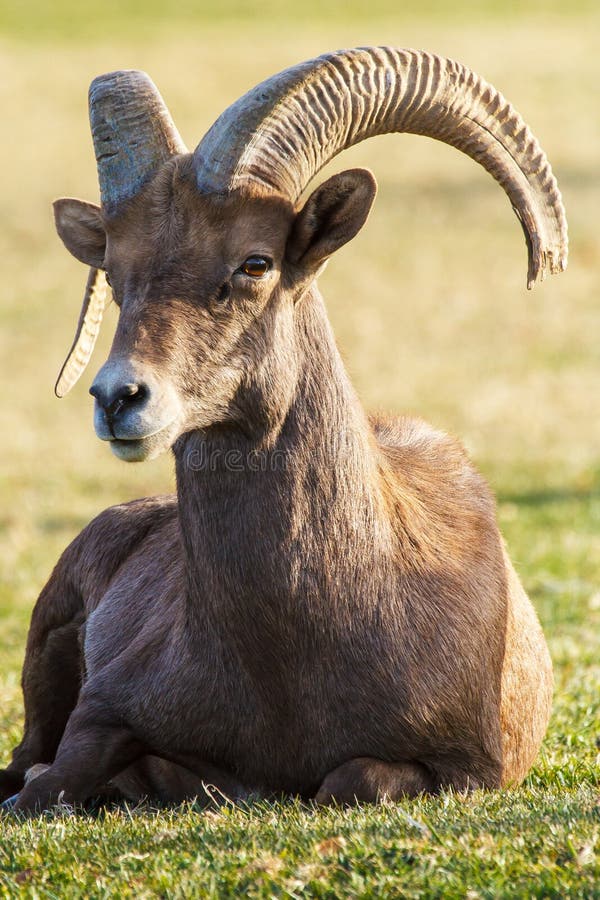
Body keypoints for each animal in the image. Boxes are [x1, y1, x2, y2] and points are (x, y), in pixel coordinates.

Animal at [0, 47, 567, 814]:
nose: (119, 398)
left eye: (255, 262)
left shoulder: (462, 769)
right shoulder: (103, 712)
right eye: (114, 274)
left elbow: (350, 779)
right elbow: (42, 785)